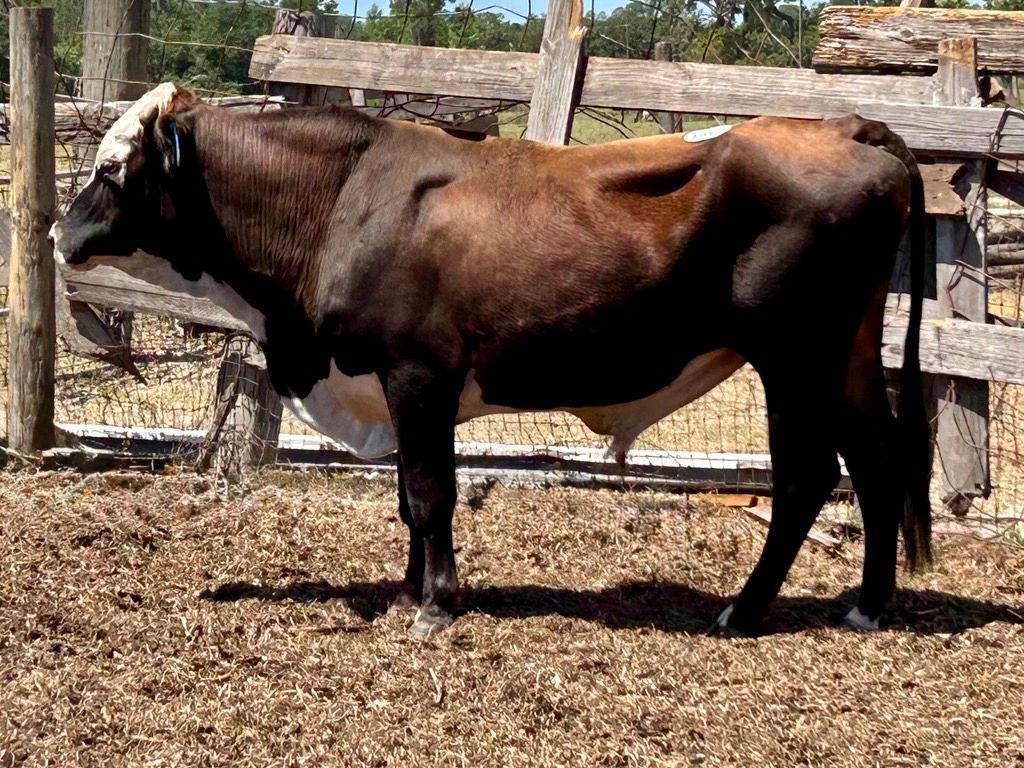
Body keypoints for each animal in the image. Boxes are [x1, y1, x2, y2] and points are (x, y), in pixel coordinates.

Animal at [50, 83, 931, 638]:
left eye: (112, 168)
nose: (59, 233)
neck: (345, 200)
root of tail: (846, 126)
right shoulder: (393, 387)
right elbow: (408, 499)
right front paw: (409, 588)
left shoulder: (420, 376)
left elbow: (431, 495)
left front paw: (436, 605)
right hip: (850, 352)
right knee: (879, 461)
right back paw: (868, 605)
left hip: (794, 356)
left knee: (809, 478)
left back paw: (742, 614)